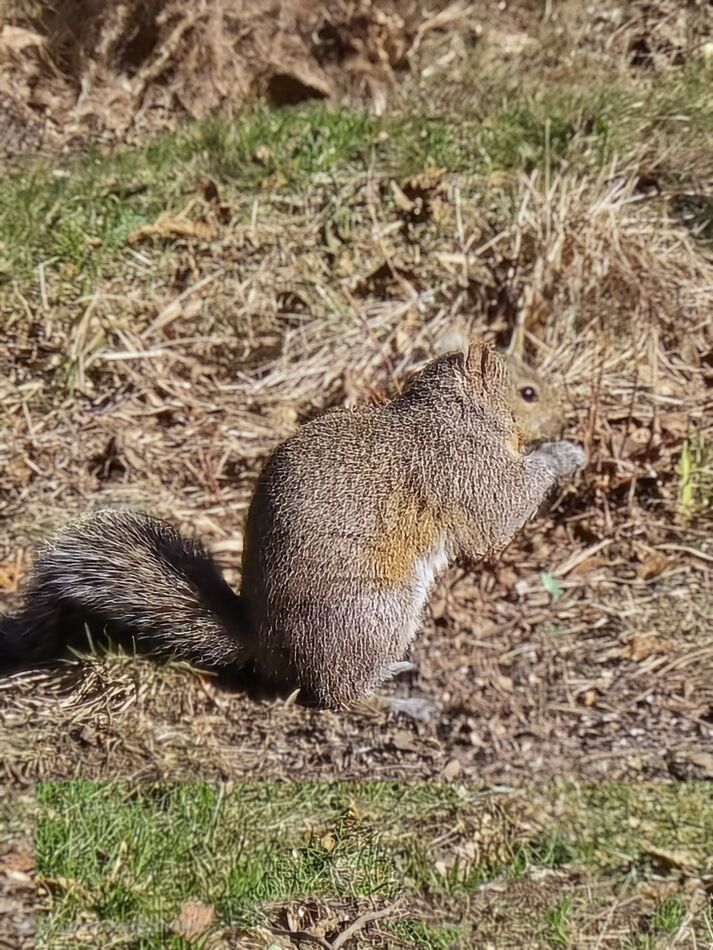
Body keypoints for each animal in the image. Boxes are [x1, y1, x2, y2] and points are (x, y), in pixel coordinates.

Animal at [0, 342, 585, 709]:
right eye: (528, 393)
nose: (568, 416)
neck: (457, 412)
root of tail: (266, 646)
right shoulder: (459, 466)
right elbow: (498, 511)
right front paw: (563, 454)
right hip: (373, 613)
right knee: (332, 692)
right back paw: (389, 693)